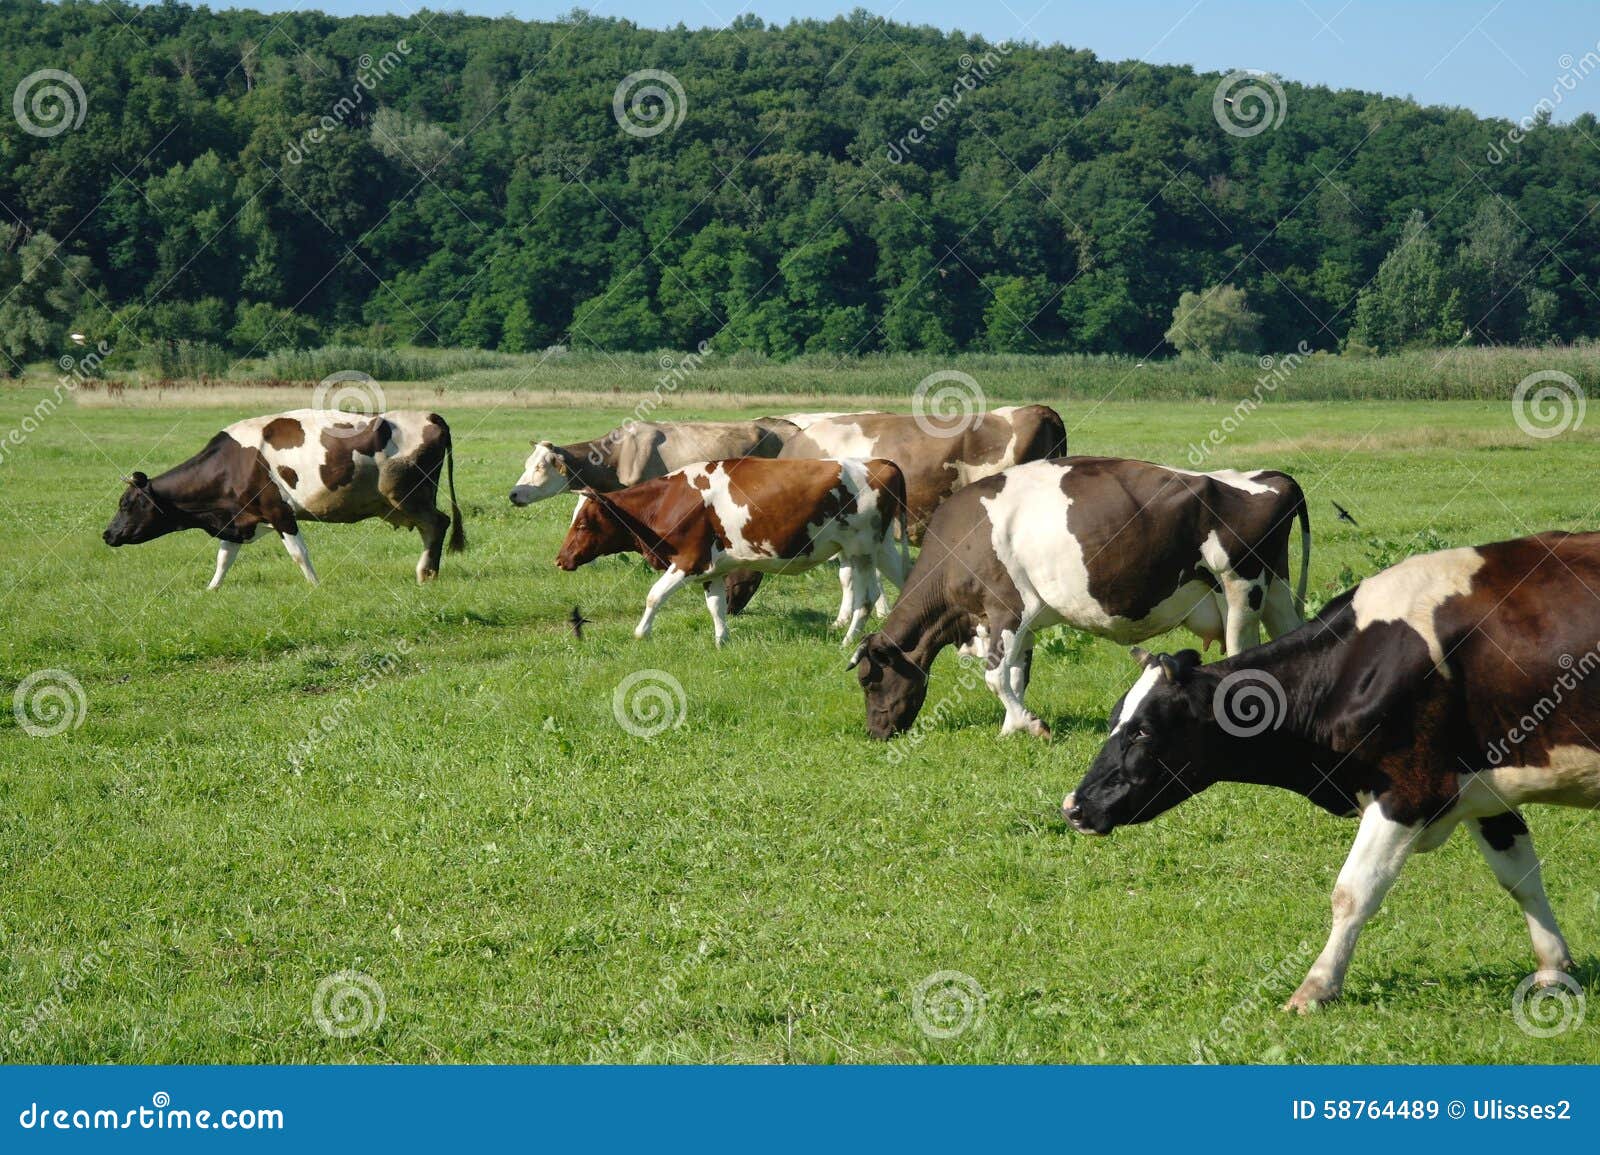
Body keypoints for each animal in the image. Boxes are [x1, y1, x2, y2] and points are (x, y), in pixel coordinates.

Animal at [103, 409, 464, 587]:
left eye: (125, 504)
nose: (107, 534)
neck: (232, 464)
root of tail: (431, 416)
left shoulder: (279, 512)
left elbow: (299, 554)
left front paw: (315, 586)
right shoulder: (240, 517)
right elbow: (223, 559)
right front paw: (211, 589)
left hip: (407, 494)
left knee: (438, 523)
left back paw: (426, 574)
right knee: (433, 527)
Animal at [555, 458, 910, 646]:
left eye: (583, 524)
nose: (560, 559)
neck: (668, 500)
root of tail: (878, 462)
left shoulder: (689, 561)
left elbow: (655, 595)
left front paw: (641, 633)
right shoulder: (714, 569)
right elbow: (716, 606)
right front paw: (721, 640)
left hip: (861, 551)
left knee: (866, 599)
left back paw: (849, 640)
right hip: (879, 550)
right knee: (904, 582)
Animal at [849, 457, 1310, 739]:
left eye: (869, 680)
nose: (875, 733)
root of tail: (1270, 477)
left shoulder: (1005, 609)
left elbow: (996, 676)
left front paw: (1030, 725)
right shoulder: (1024, 621)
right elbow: (1016, 674)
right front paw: (1010, 728)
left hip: (1241, 588)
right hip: (1276, 591)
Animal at [1062, 531, 1600, 1013]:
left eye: (1143, 732)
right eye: (1114, 720)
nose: (1074, 806)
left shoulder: (1407, 791)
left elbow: (1353, 892)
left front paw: (1316, 987)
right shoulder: (1482, 788)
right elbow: (1521, 877)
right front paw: (1554, 970)